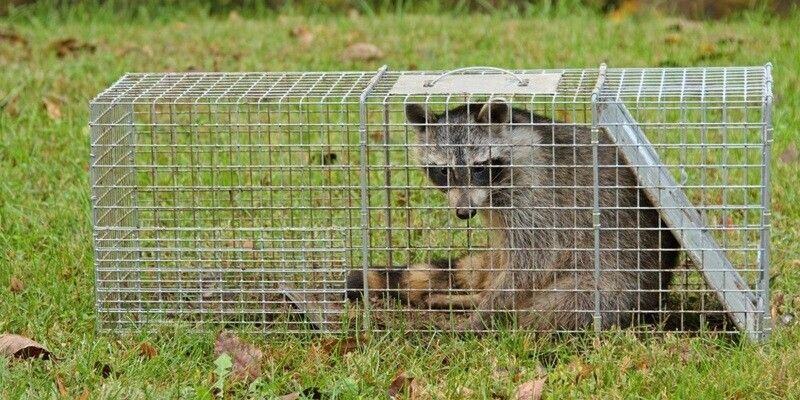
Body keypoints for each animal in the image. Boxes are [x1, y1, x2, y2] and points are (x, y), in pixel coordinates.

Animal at [346, 99, 679, 331]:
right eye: (443, 171)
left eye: (479, 167)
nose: (464, 212)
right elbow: (504, 259)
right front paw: (479, 300)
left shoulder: (538, 193)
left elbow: (533, 260)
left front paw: (484, 314)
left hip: (616, 285)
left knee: (558, 307)